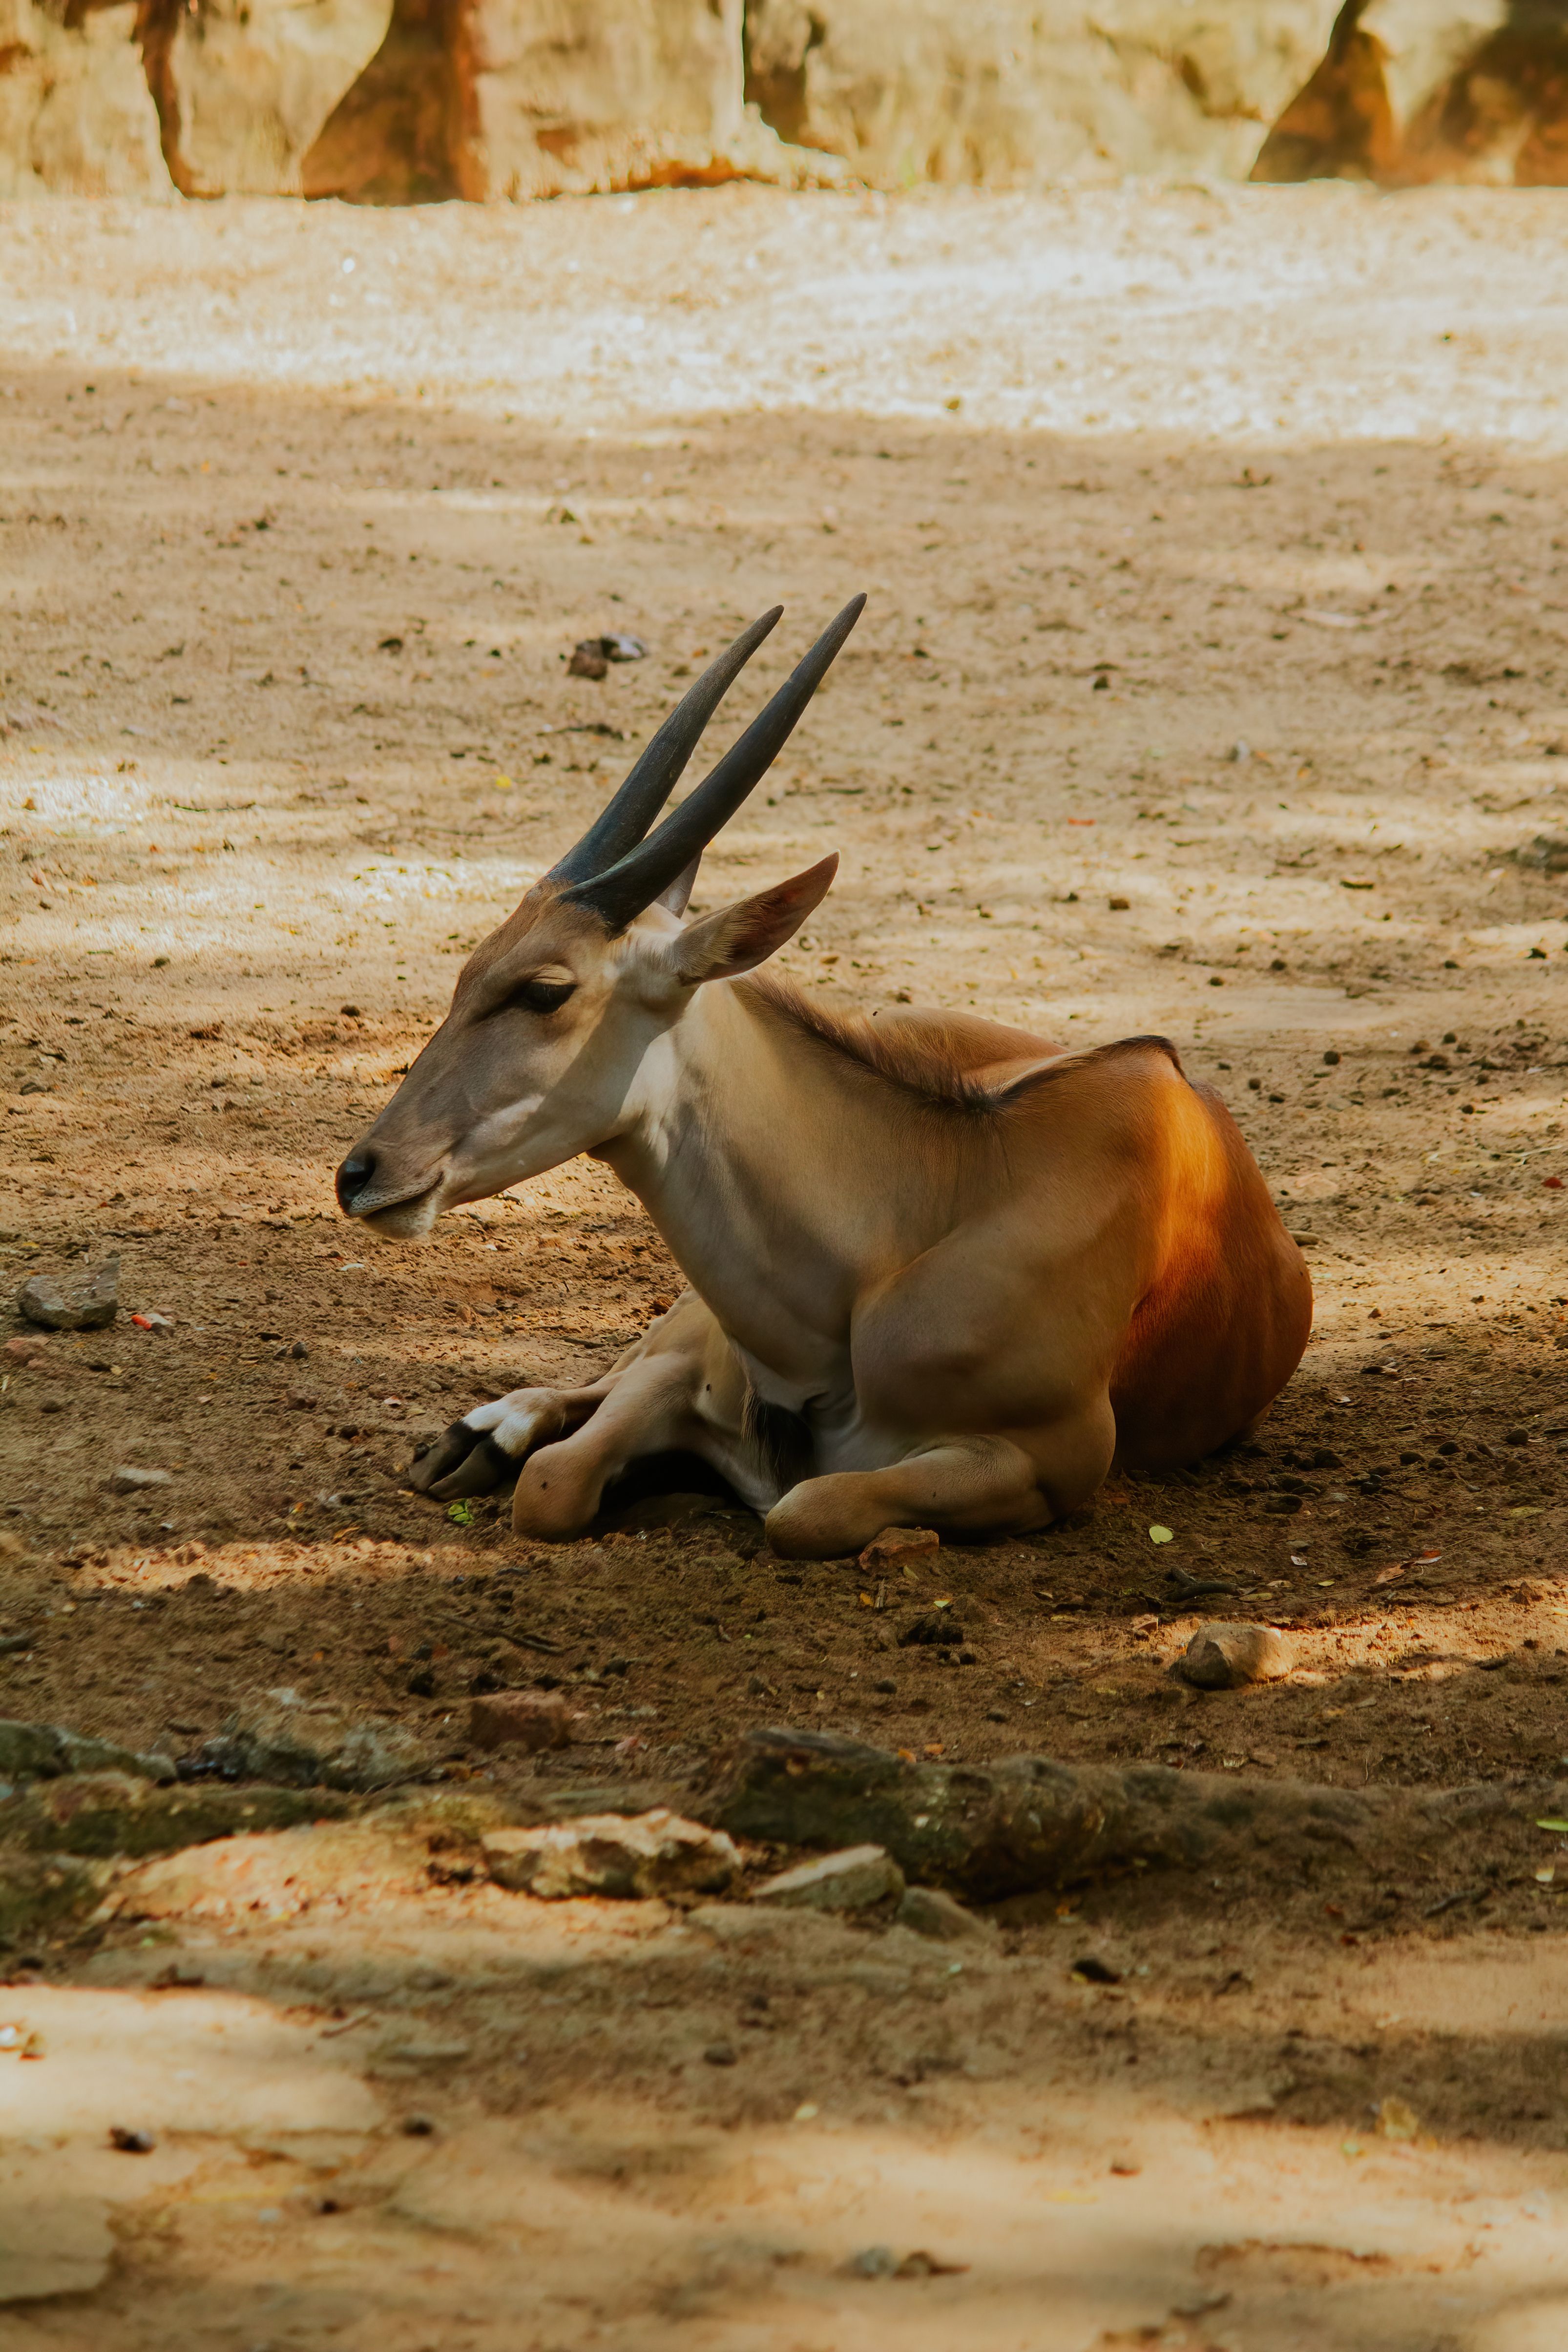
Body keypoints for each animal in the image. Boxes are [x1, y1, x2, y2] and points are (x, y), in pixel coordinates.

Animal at [336, 598, 1311, 1557]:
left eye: (543, 990)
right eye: (469, 970)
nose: (361, 1174)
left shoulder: (1048, 1464)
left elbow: (800, 1511)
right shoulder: (679, 1368)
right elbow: (554, 1482)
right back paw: (477, 1435)